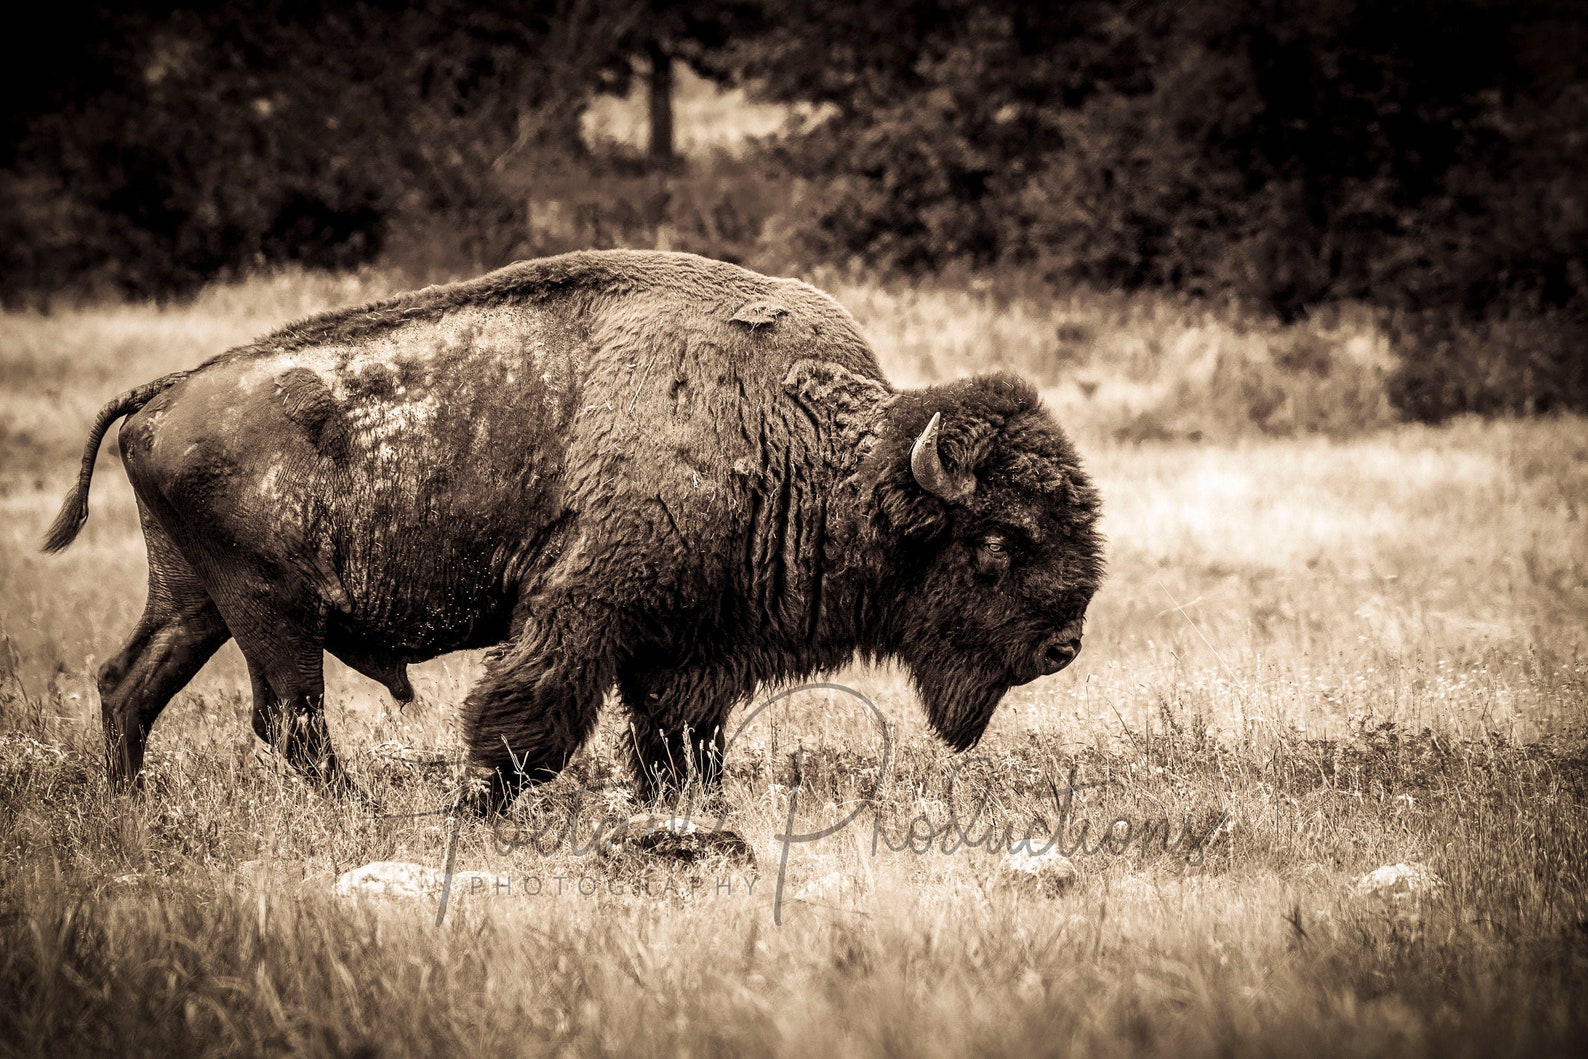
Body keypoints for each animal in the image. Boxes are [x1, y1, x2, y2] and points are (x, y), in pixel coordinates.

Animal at [44, 250, 1104, 810]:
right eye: (997, 541)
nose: (1064, 644)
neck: (796, 434)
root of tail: (167, 391)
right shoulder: (583, 605)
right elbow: (532, 712)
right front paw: (481, 800)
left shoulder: (696, 642)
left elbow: (679, 732)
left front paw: (683, 804)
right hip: (268, 609)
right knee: (287, 715)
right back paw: (349, 805)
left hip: (195, 598)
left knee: (131, 681)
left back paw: (127, 796)